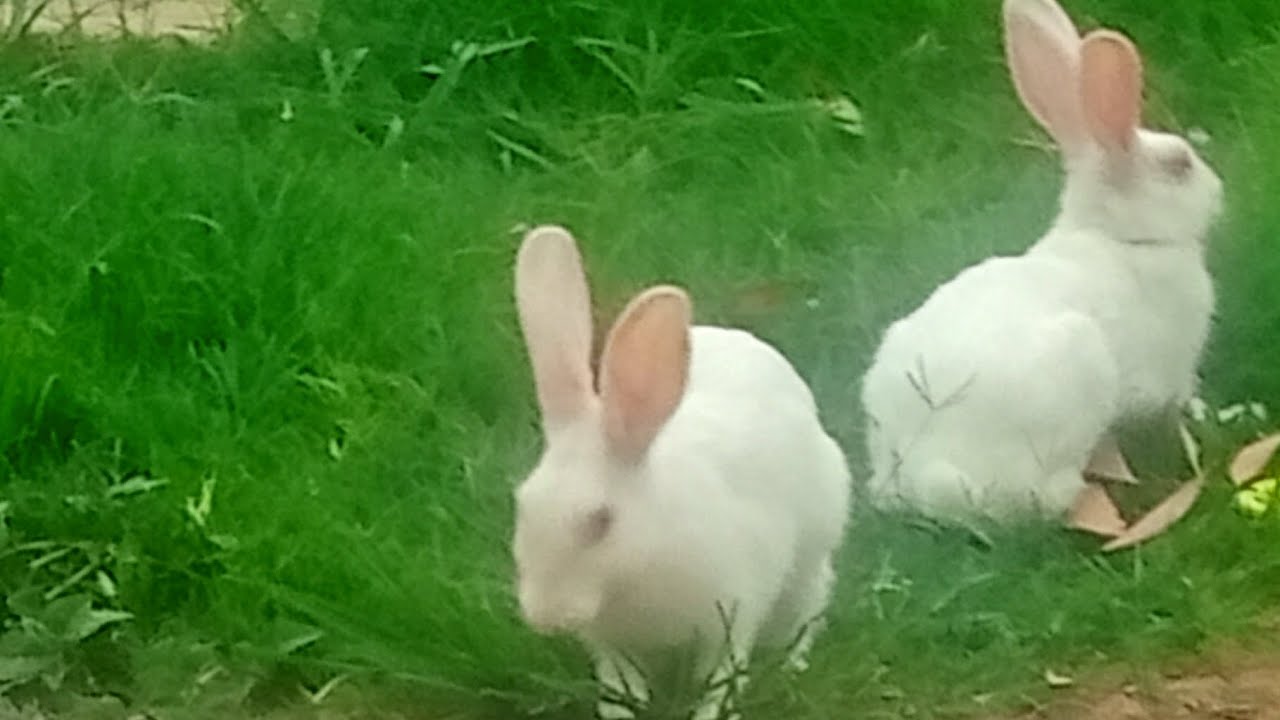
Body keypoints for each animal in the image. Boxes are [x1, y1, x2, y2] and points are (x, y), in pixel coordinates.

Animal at [511, 225, 852, 720]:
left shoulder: (733, 614)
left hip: (811, 561)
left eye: (601, 521)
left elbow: (722, 681)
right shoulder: (610, 644)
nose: (545, 616)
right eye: (522, 504)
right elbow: (620, 687)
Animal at [860, 0, 1223, 523]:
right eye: (1179, 165)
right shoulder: (1171, 369)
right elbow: (1178, 398)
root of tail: (927, 473)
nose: (1218, 191)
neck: (1121, 236)